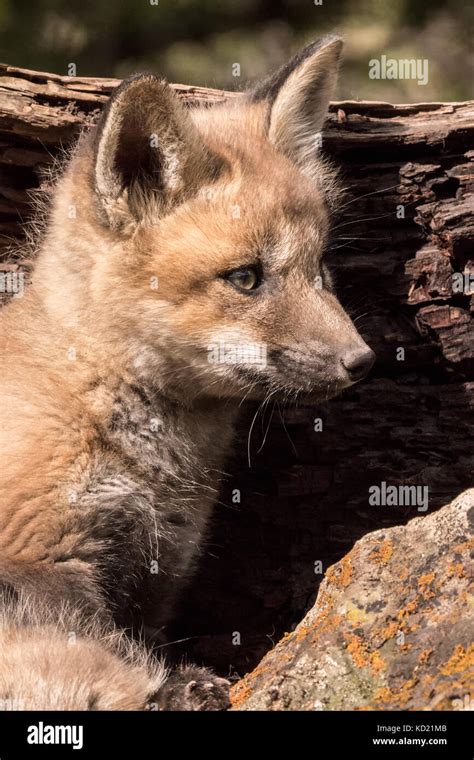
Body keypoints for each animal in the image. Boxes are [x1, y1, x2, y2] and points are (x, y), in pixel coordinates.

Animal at [0, 36, 375, 710]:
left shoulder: (160, 572)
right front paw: (172, 687)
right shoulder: (39, 562)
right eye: (246, 277)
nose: (363, 361)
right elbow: (92, 654)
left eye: (320, 269)